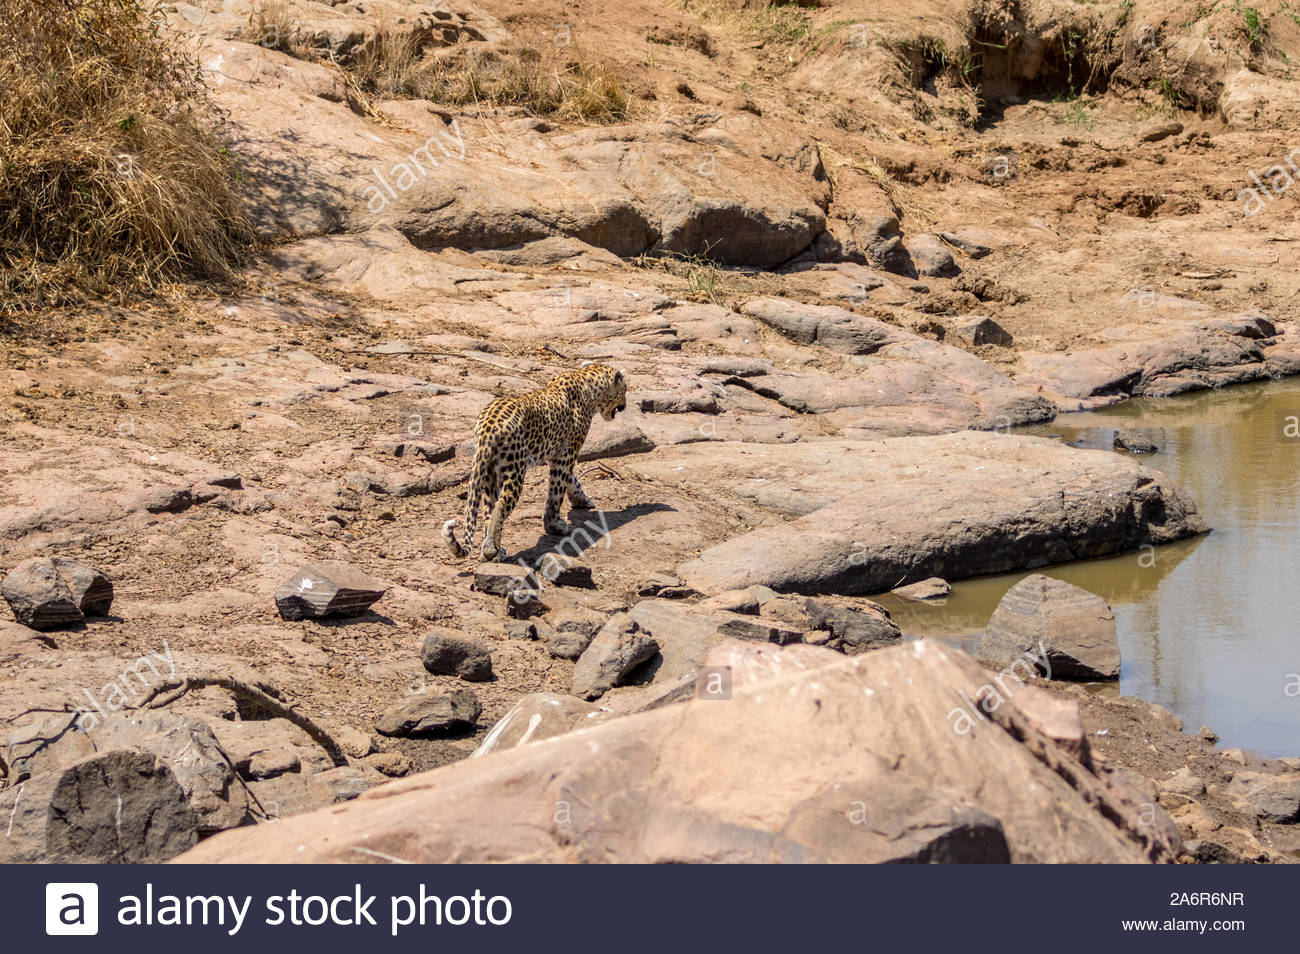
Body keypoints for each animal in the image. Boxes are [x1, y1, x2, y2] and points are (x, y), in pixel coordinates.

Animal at [442, 362, 627, 563]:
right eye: (625, 390)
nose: (624, 406)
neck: (588, 381)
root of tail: (487, 427)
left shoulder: (557, 456)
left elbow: (571, 481)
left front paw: (582, 500)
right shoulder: (566, 455)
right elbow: (557, 492)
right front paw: (554, 525)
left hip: (490, 471)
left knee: (488, 509)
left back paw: (493, 549)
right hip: (515, 470)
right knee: (500, 505)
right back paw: (492, 550)